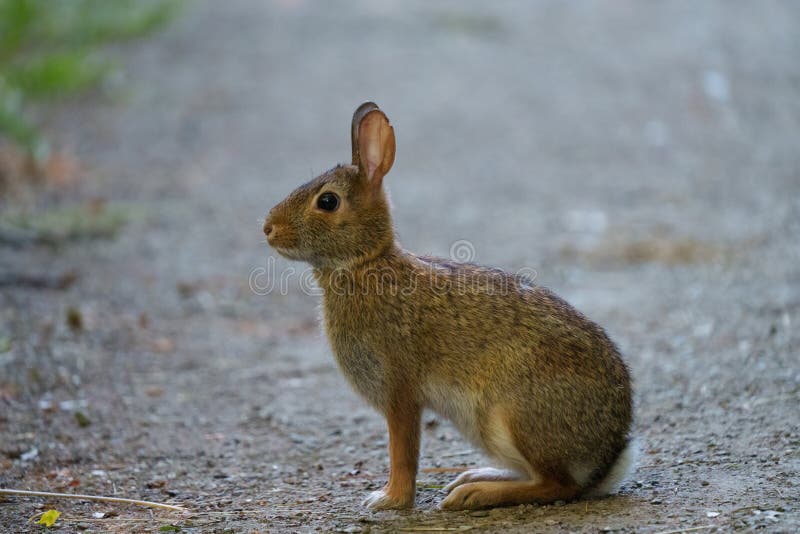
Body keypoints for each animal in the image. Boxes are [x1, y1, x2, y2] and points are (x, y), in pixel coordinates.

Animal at [263, 102, 634, 511]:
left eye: (327, 201)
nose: (268, 228)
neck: (364, 264)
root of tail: (607, 458)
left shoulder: (400, 392)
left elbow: (403, 452)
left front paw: (387, 500)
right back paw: (474, 478)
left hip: (511, 416)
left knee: (558, 485)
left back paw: (473, 494)